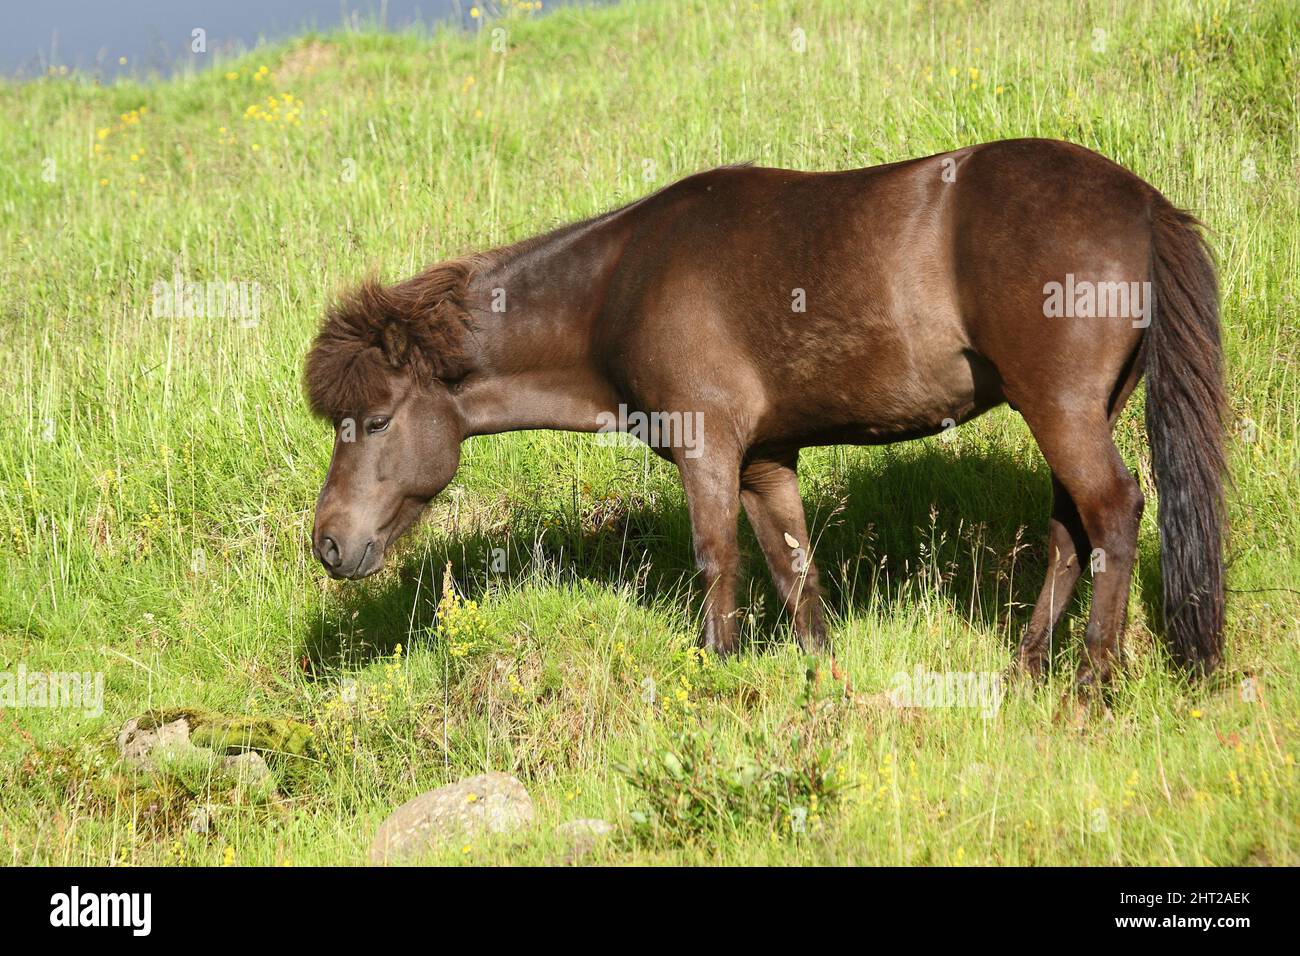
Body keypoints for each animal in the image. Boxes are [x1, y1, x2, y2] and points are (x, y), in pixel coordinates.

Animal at [305, 138, 1226, 689]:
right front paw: (822, 679)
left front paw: (715, 677)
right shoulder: (764, 460)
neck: (619, 284)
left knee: (1113, 512)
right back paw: (1028, 669)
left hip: (1060, 409)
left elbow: (719, 564)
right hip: (1079, 411)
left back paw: (1094, 679)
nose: (329, 543)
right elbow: (795, 573)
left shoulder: (709, 448)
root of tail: (1142, 201)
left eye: (375, 420)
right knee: (1072, 531)